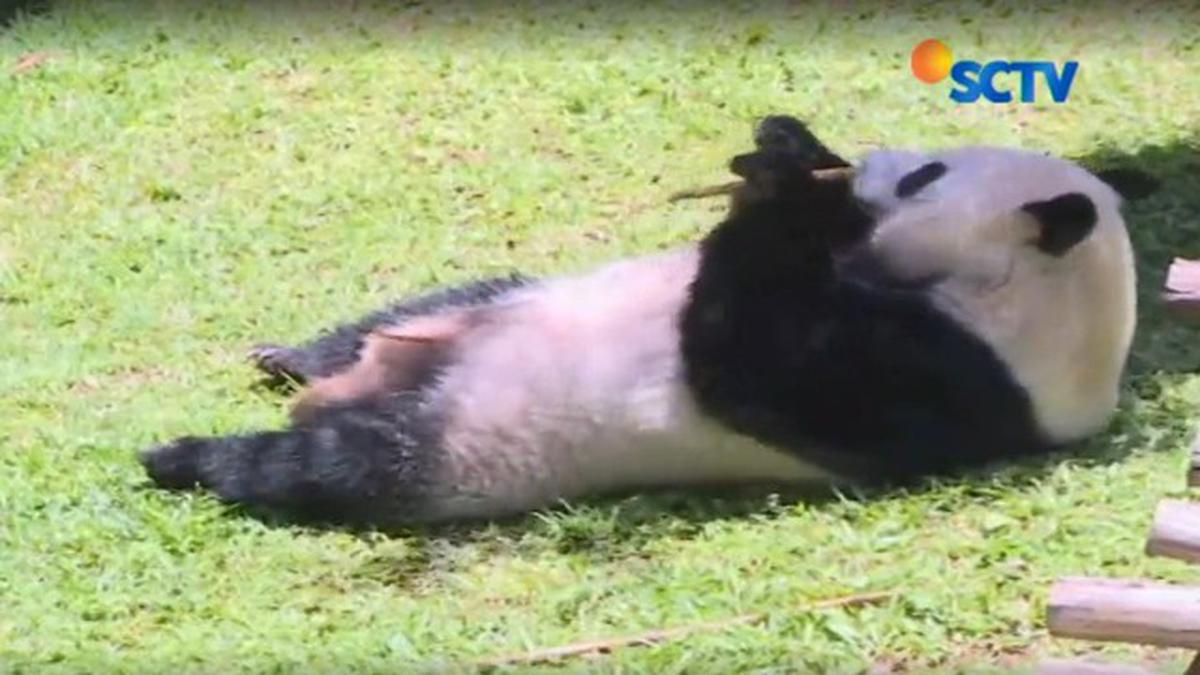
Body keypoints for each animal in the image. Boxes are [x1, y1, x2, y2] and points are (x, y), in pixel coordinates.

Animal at [140, 116, 1139, 528]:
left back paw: (191, 455)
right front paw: (792, 148)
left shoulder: (944, 376)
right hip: (489, 300)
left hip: (449, 446)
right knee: (412, 307)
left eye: (929, 175)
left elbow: (755, 363)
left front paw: (789, 187)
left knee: (331, 465)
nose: (875, 162)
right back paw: (295, 356)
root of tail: (373, 381)